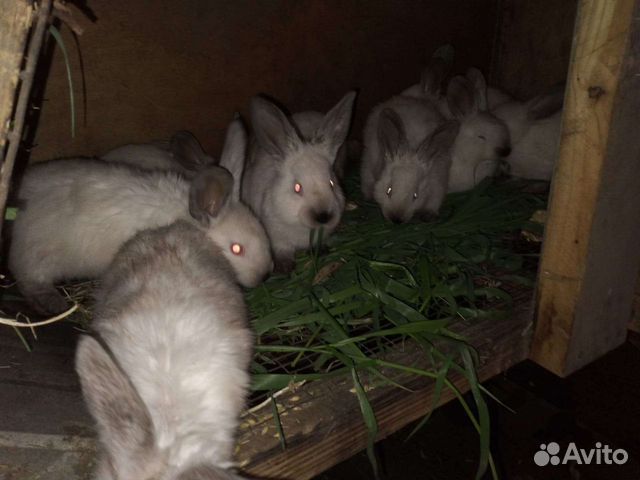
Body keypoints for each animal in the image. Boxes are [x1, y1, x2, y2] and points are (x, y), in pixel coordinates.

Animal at [9, 118, 272, 315]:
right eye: (237, 249)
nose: (263, 276)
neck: (185, 215)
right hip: (37, 253)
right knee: (29, 279)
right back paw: (53, 304)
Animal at [242, 92, 356, 272]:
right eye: (297, 188)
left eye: (331, 183)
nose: (323, 216)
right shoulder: (277, 239)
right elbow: (283, 251)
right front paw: (285, 267)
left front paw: (320, 251)